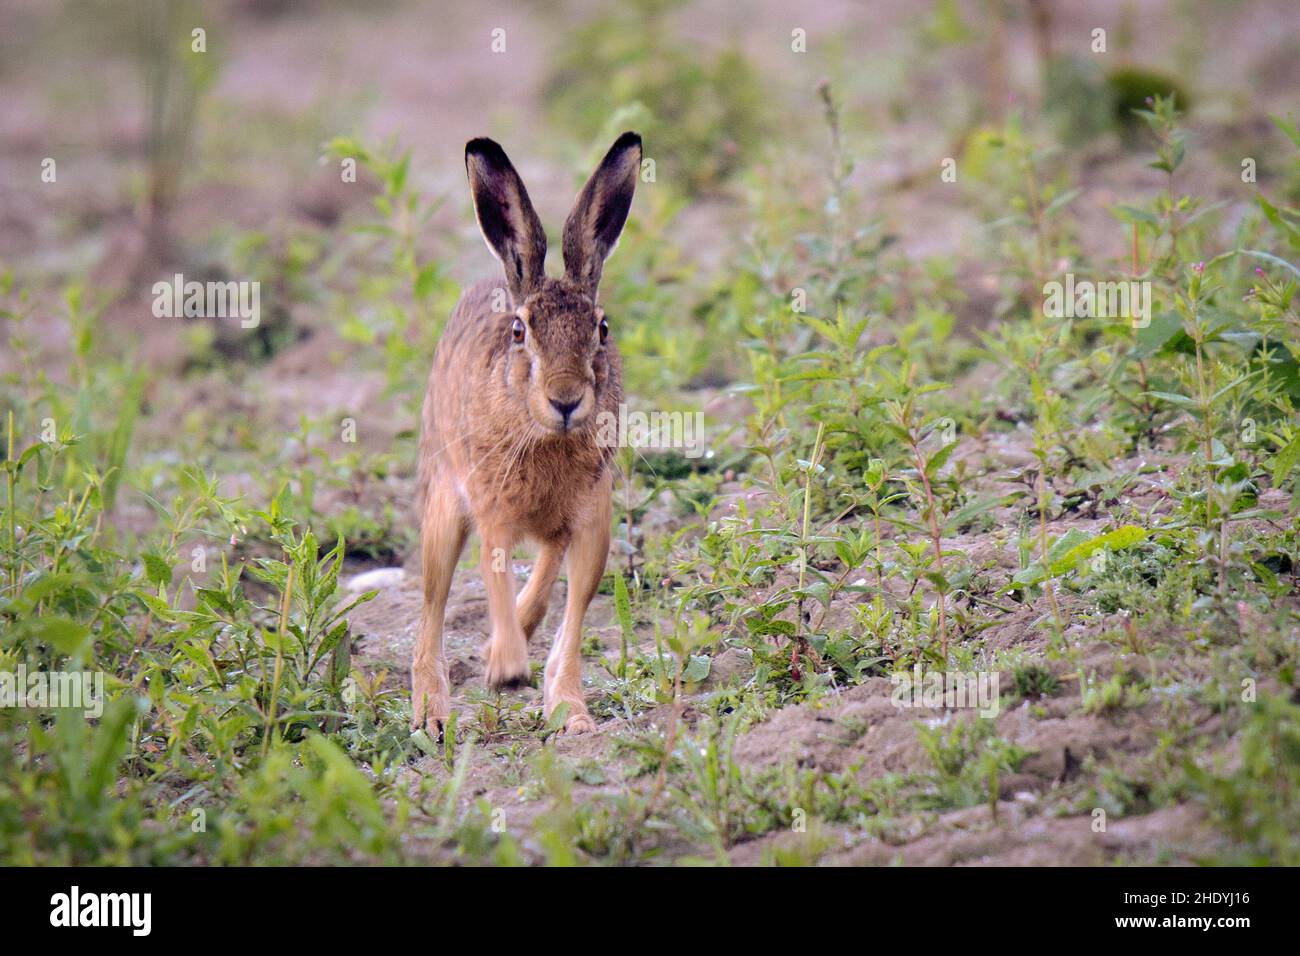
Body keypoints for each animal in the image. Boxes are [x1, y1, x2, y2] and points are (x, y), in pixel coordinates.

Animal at [411, 132, 642, 737]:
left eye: (602, 329)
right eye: (519, 332)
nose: (565, 400)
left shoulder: (589, 519)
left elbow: (576, 607)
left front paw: (571, 711)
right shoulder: (492, 511)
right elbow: (491, 576)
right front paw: (507, 670)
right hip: (442, 506)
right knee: (432, 604)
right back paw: (432, 713)